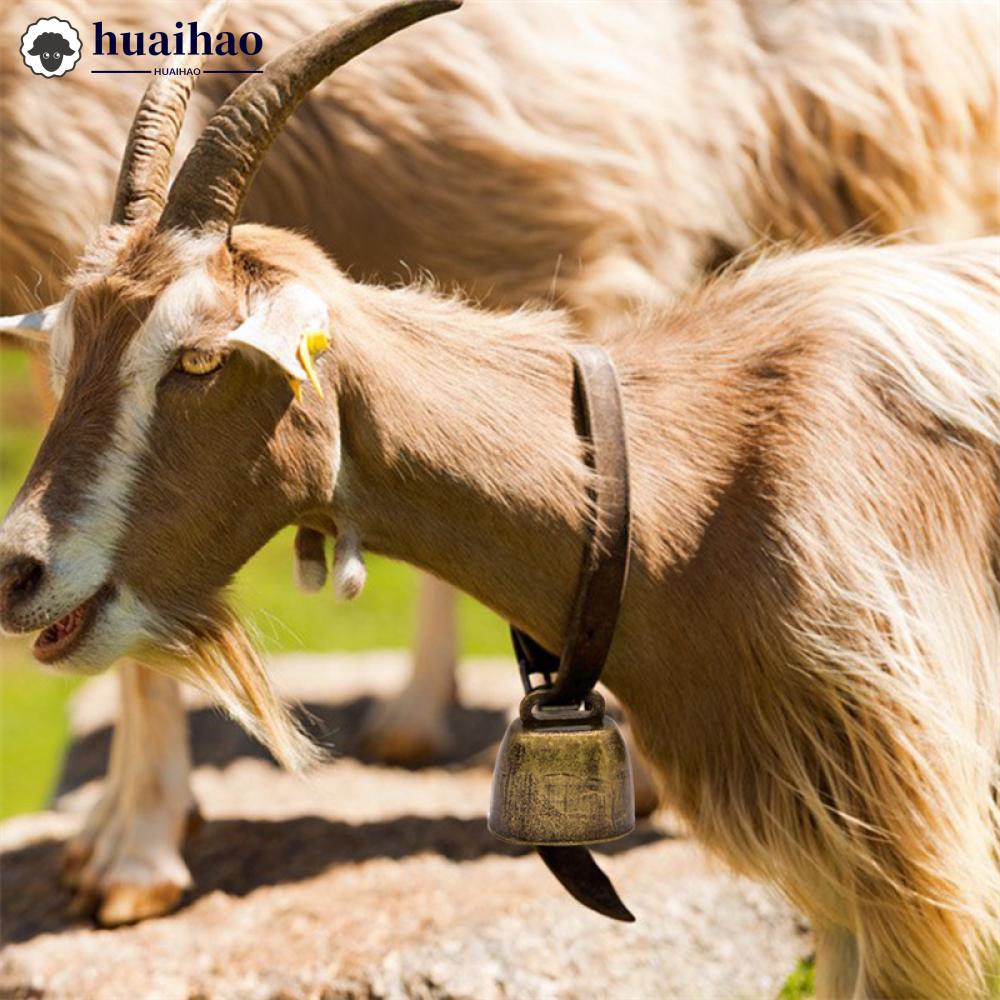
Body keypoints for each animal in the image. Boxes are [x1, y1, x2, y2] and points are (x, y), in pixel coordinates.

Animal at [1, 2, 998, 993]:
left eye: (200, 359)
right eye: (67, 352)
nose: (16, 569)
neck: (689, 473)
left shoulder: (916, 889)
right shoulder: (838, 893)